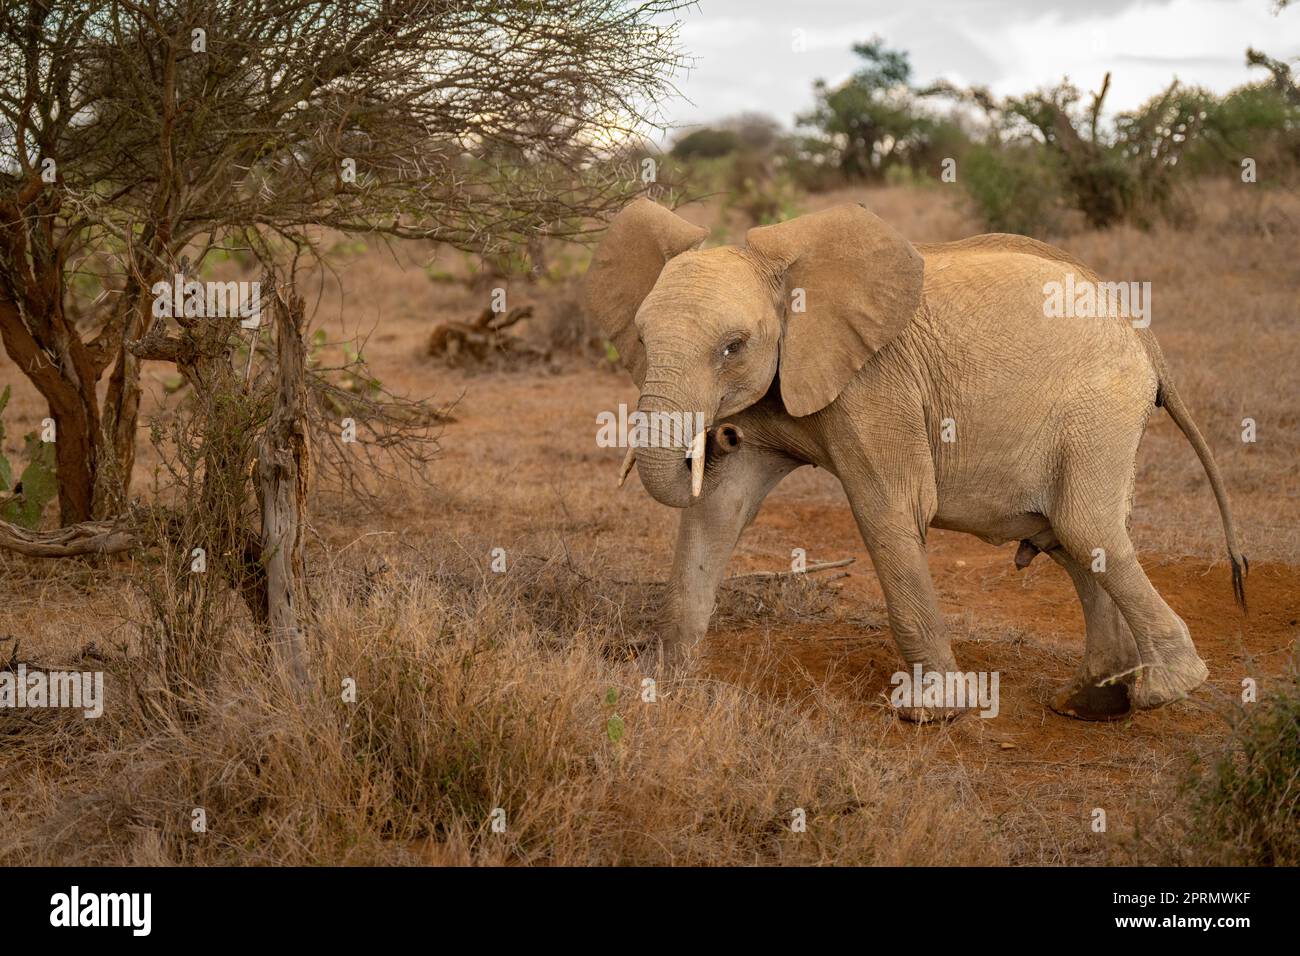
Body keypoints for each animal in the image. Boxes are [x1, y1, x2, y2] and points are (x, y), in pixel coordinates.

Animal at [583, 198, 1246, 721]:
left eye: (732, 347)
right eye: (640, 340)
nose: (720, 437)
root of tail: (1141, 332)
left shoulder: (877, 384)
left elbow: (889, 511)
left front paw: (931, 714)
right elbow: (717, 511)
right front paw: (658, 684)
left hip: (1100, 408)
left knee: (1087, 529)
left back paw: (1166, 689)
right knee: (1073, 541)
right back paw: (1090, 703)